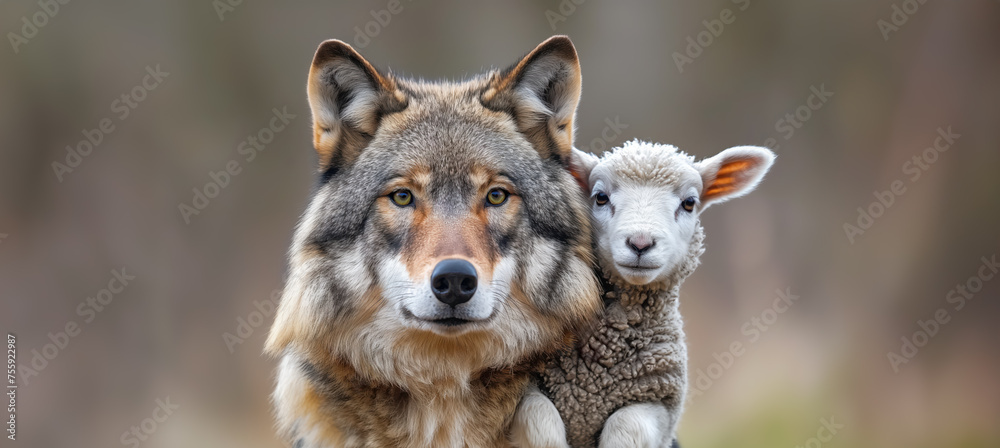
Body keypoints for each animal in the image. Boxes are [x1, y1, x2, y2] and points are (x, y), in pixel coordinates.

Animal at [510, 140, 774, 448]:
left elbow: (627, 426)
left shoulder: (658, 403)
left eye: (689, 203)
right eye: (600, 197)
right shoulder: (522, 391)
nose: (640, 243)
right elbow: (539, 420)